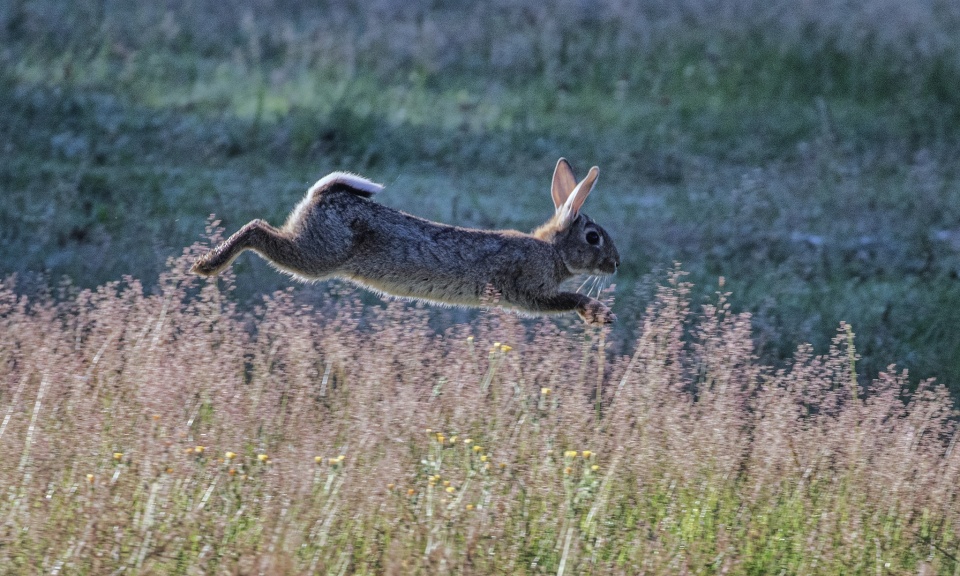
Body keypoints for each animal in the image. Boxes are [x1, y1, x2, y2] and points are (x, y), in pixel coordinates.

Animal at [191, 158, 621, 325]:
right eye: (593, 237)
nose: (617, 264)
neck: (552, 250)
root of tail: (322, 195)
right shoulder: (528, 291)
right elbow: (565, 300)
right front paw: (598, 313)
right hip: (317, 255)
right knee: (257, 230)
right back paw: (208, 263)